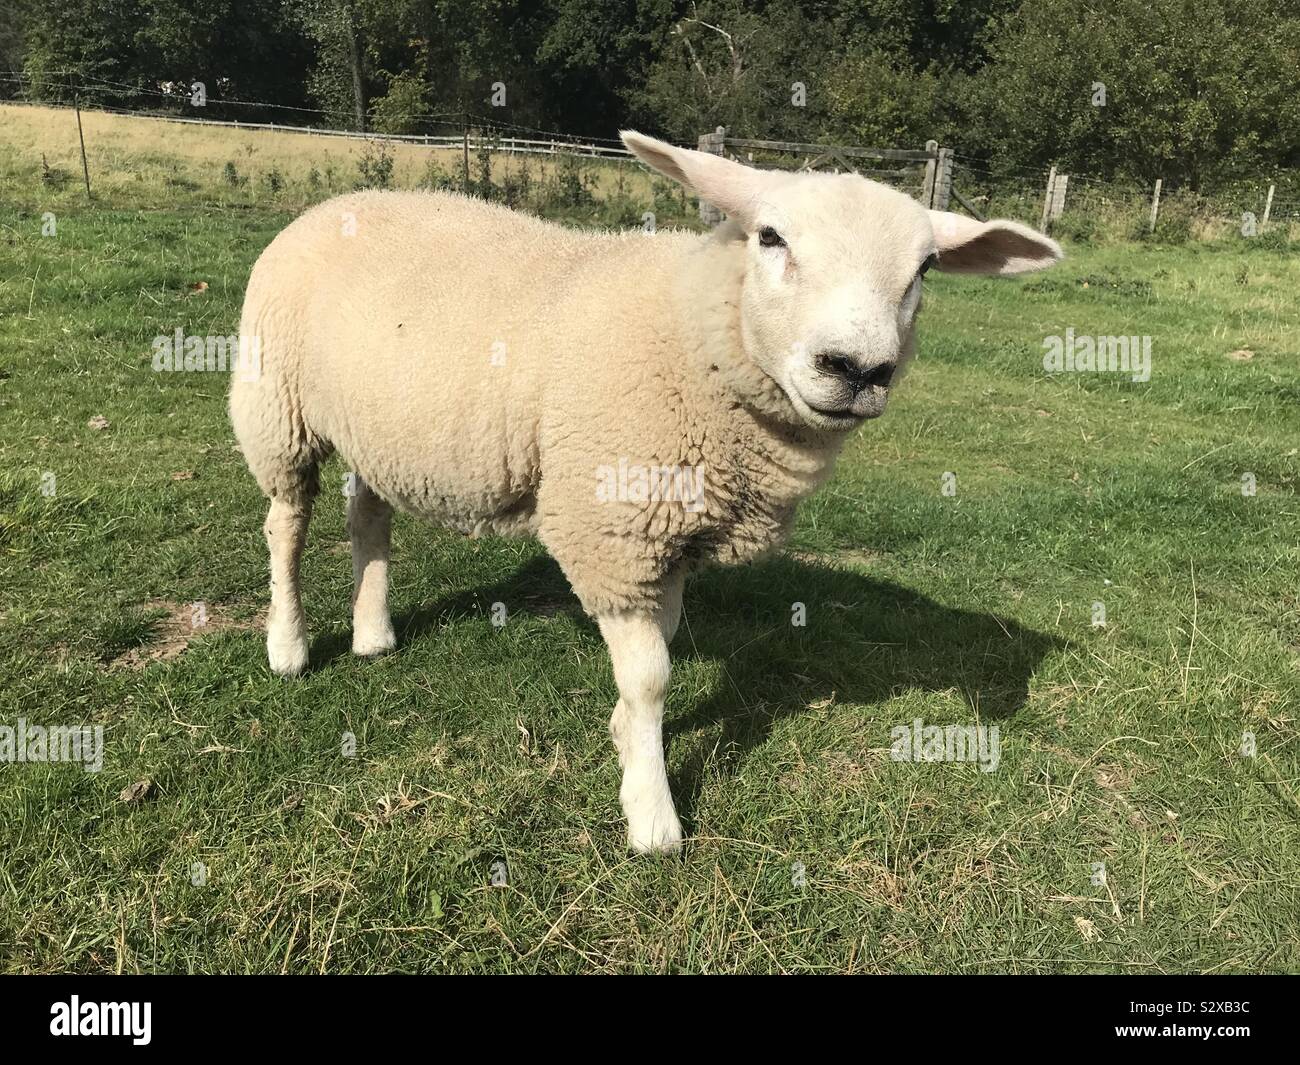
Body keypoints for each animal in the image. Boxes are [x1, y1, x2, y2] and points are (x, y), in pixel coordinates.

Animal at [229, 131, 1062, 854]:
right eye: (770, 238)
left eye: (925, 268)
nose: (857, 368)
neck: (692, 338)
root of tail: (338, 201)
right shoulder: (615, 532)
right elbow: (653, 674)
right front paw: (653, 816)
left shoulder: (675, 536)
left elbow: (656, 655)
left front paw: (628, 740)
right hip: (277, 409)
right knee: (286, 527)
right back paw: (289, 646)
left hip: (376, 424)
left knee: (367, 514)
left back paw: (373, 634)